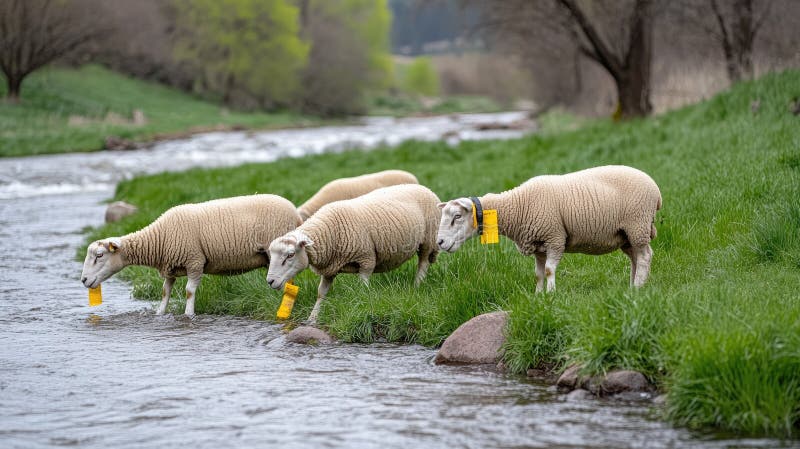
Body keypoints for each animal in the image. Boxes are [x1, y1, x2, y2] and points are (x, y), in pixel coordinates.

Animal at [81, 194, 302, 316]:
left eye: (99, 255)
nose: (83, 280)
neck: (159, 239)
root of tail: (295, 212)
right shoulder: (170, 268)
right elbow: (165, 292)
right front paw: (159, 313)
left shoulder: (195, 261)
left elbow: (189, 291)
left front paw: (189, 314)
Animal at [266, 184, 441, 324]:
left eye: (290, 255)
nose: (269, 281)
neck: (329, 232)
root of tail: (424, 187)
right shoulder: (330, 269)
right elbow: (321, 294)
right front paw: (312, 318)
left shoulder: (366, 260)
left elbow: (362, 289)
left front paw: (363, 305)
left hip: (428, 239)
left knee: (423, 263)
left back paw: (417, 285)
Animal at [436, 165, 662, 292]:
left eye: (457, 217)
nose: (439, 242)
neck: (518, 206)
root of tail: (656, 189)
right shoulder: (538, 245)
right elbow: (538, 273)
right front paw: (538, 296)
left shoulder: (554, 238)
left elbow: (549, 270)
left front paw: (551, 295)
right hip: (626, 234)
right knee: (636, 258)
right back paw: (634, 287)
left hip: (637, 224)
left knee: (644, 257)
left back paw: (638, 288)